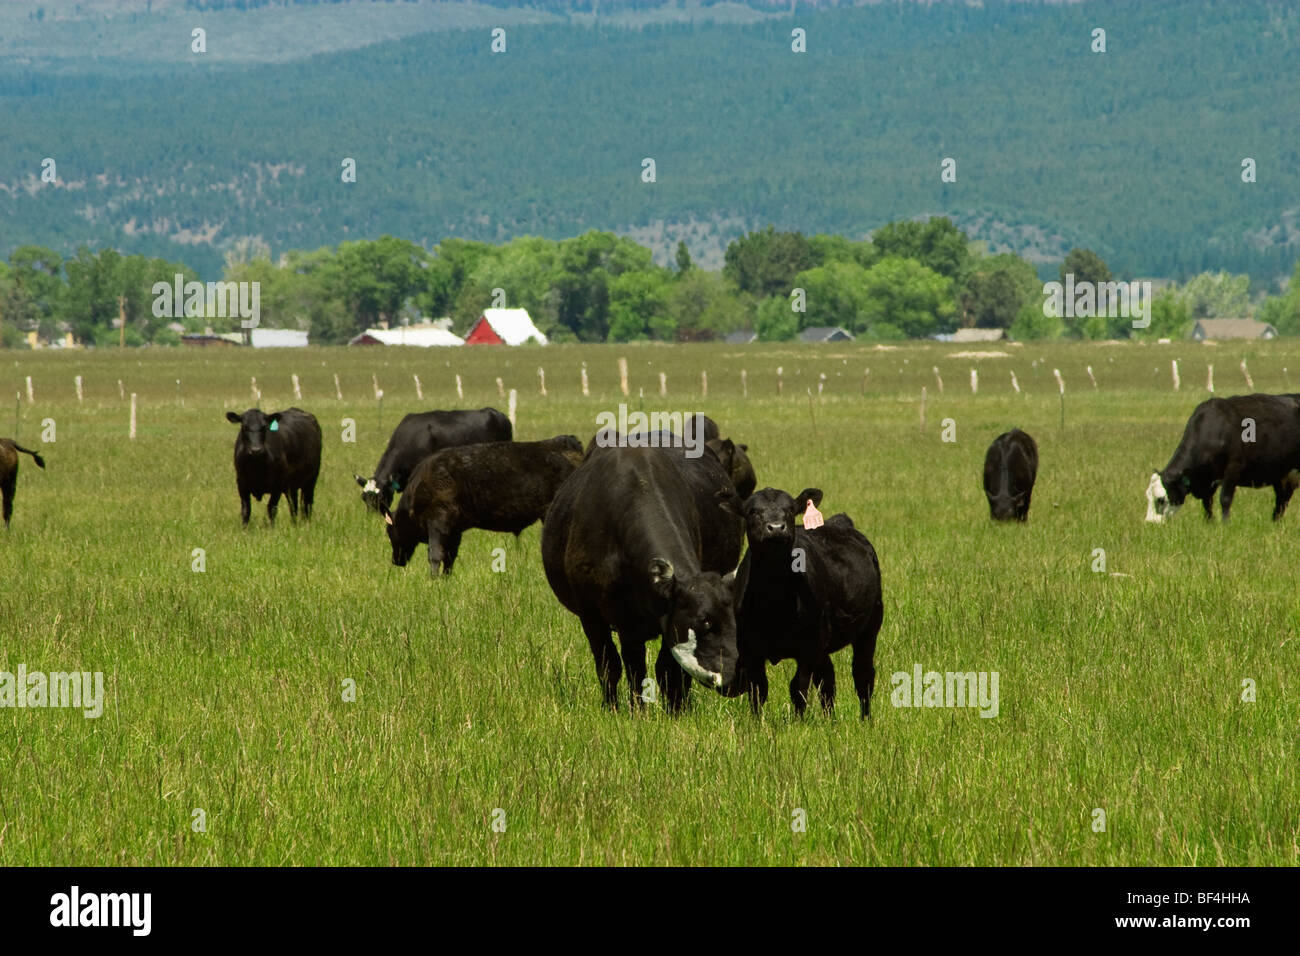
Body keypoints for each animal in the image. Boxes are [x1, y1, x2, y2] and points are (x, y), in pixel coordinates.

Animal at [381, 435, 585, 575]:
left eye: (390, 532)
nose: (395, 561)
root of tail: (564, 442)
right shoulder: (454, 531)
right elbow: (449, 557)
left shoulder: (438, 521)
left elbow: (435, 554)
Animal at [541, 443, 744, 712]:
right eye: (705, 621)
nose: (738, 678)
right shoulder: (595, 615)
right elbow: (615, 665)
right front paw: (623, 710)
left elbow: (668, 671)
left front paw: (677, 711)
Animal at [730, 487, 883, 719]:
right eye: (752, 511)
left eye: (790, 509)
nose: (776, 528)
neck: (773, 602)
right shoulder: (749, 648)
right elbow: (757, 690)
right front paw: (756, 724)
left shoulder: (809, 646)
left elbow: (798, 687)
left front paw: (798, 722)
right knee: (827, 680)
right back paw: (830, 720)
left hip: (869, 628)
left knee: (863, 676)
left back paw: (865, 720)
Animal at [1146, 393, 1300, 523]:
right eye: (1148, 496)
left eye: (1160, 499)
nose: (1150, 523)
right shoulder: (1209, 478)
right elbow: (1207, 502)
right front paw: (1209, 522)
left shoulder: (1233, 469)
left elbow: (1225, 499)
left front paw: (1225, 523)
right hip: (1283, 476)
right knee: (1282, 500)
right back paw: (1275, 522)